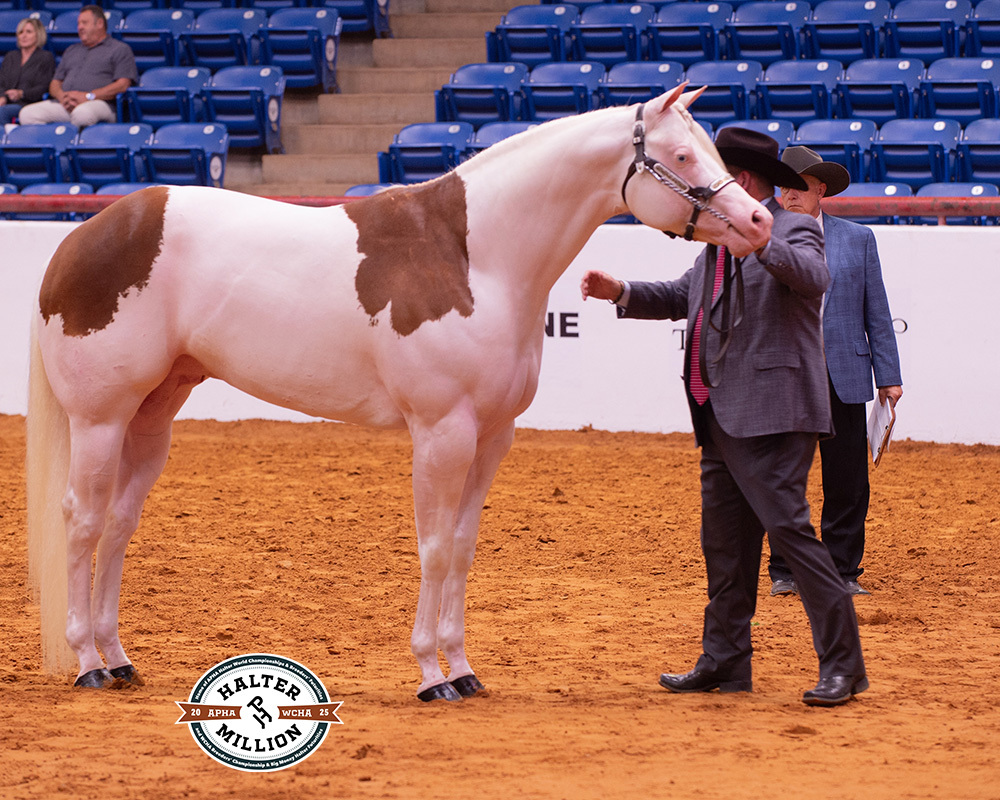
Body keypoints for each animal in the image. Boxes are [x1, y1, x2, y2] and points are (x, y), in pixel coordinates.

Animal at [26, 83, 772, 702]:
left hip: (152, 417)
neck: (475, 257)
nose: (759, 223)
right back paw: (87, 664)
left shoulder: (492, 436)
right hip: (100, 419)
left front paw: (464, 671)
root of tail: (83, 238)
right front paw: (431, 675)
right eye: (683, 154)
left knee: (120, 525)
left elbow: (464, 547)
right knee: (83, 521)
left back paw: (118, 659)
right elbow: (435, 545)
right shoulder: (443, 431)